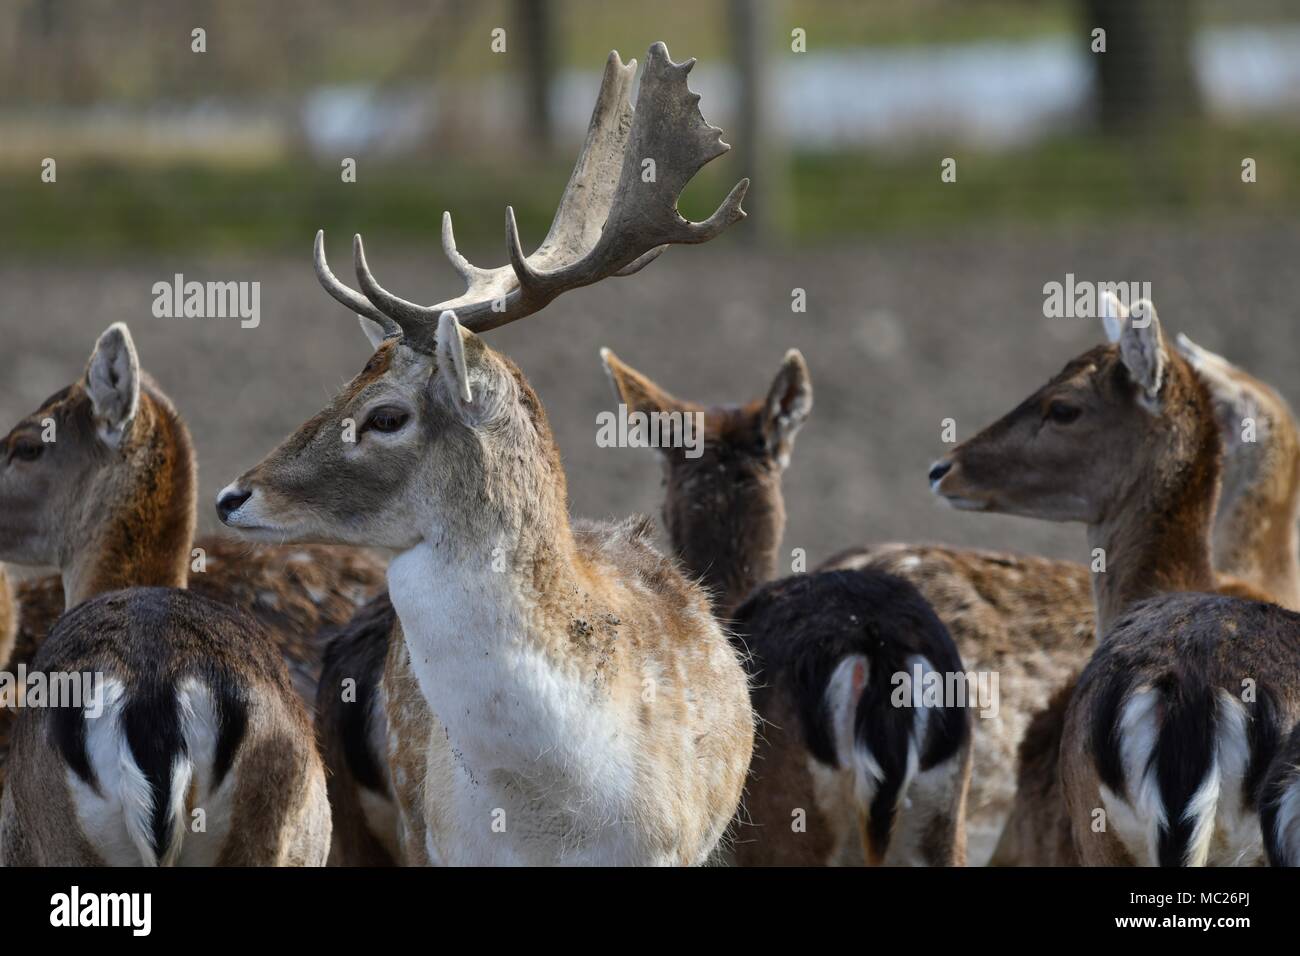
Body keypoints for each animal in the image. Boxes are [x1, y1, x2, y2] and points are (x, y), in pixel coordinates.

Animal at [217, 42, 755, 866]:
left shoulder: (676, 845)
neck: (557, 817)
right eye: (346, 382)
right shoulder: (440, 842)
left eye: (385, 415)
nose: (233, 496)